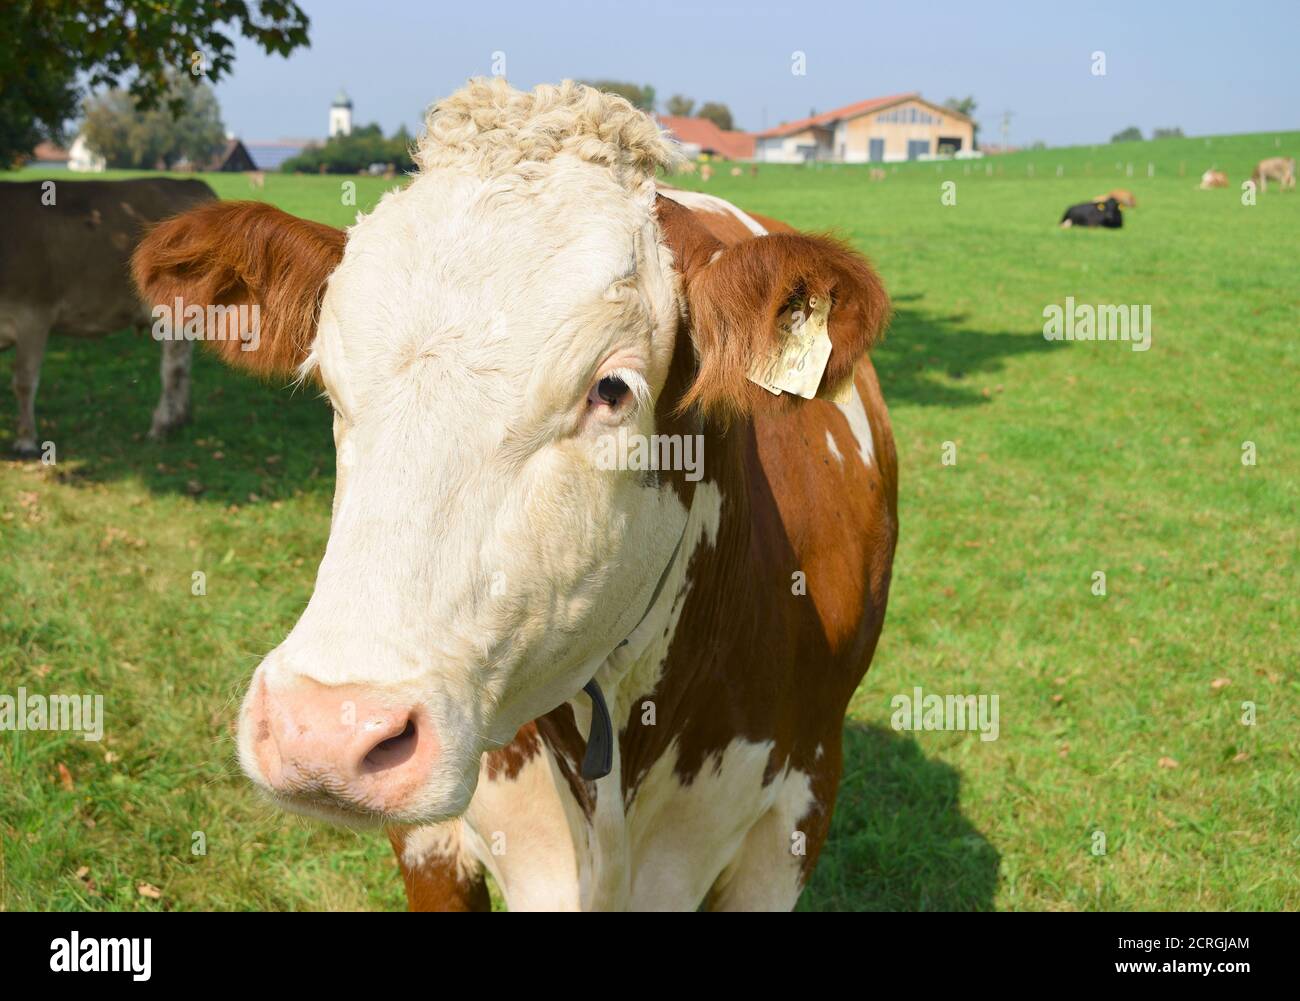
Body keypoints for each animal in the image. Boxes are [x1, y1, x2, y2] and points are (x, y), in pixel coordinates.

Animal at [0, 177, 216, 456]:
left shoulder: (33, 314)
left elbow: (24, 382)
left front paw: (26, 440)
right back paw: (181, 418)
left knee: (173, 368)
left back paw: (161, 426)